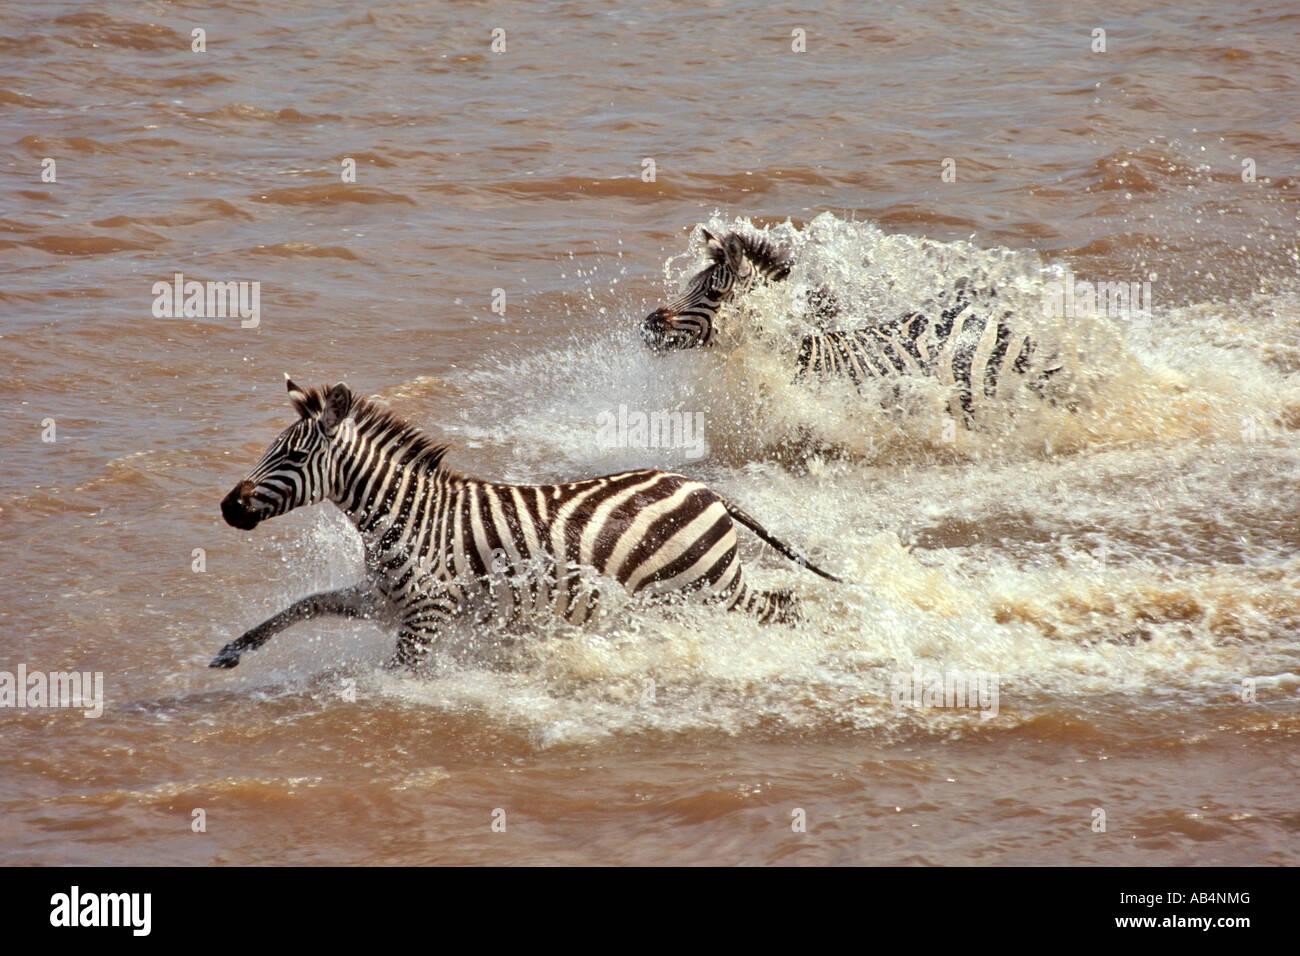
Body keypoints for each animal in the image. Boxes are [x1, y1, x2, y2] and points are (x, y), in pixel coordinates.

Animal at [212, 376, 840, 670]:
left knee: (783, 607)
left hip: (705, 584)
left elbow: (404, 670)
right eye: (271, 451)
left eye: (294, 457)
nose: (227, 508)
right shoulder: (386, 600)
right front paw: (233, 651)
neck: (408, 515)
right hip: (682, 593)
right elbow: (304, 605)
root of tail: (705, 489)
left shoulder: (428, 609)